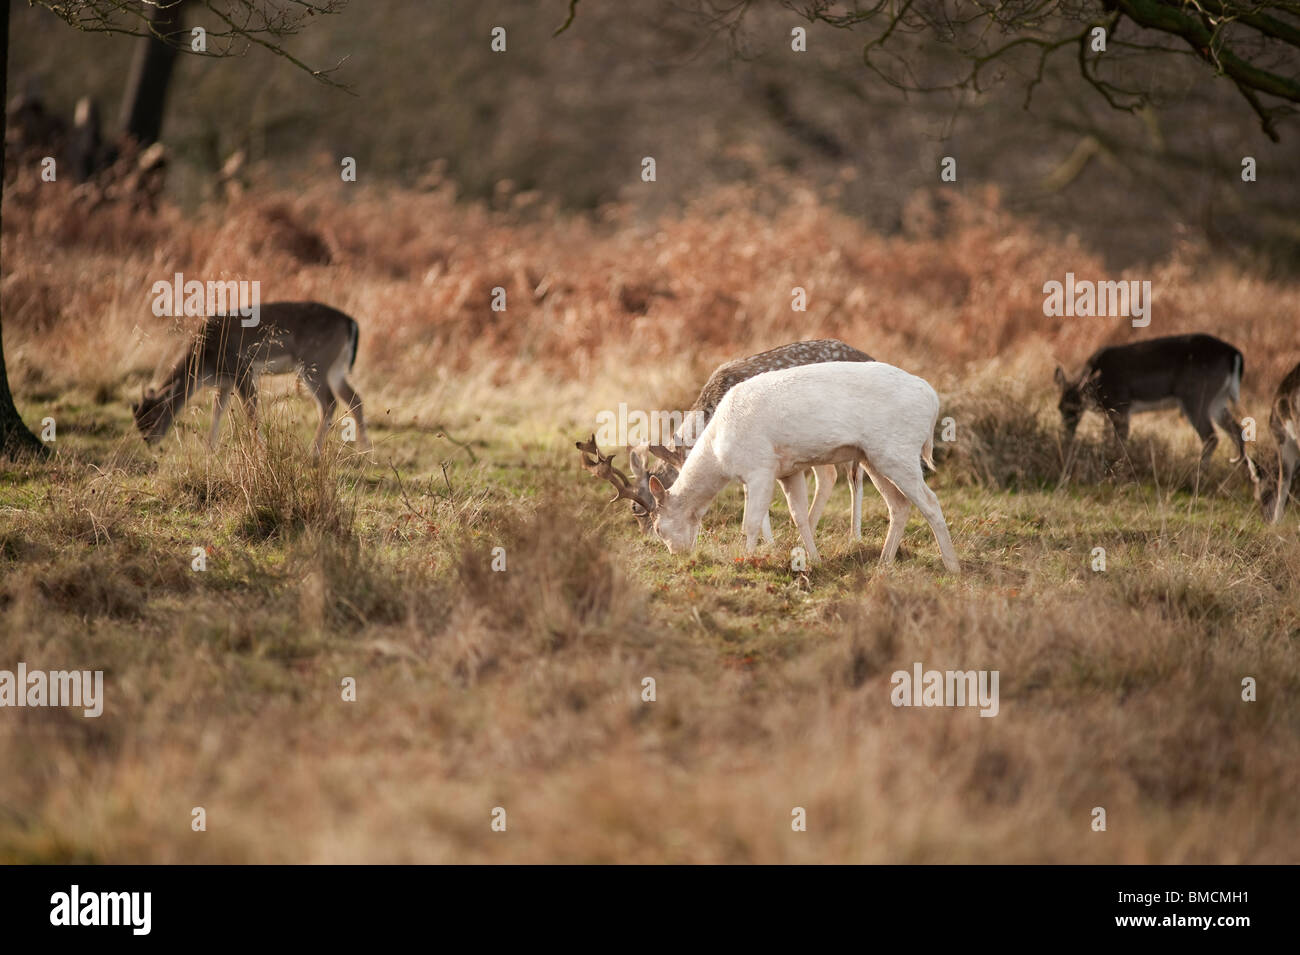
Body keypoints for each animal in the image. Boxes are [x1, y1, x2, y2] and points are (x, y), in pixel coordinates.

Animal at [132, 301, 371, 455]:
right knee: (354, 399)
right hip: (336, 368)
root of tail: (351, 323)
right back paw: (364, 452)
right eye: (138, 420)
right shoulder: (225, 382)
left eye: (153, 416)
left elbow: (250, 410)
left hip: (315, 363)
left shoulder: (242, 369)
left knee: (329, 402)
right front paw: (209, 450)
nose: (149, 441)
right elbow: (217, 410)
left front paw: (262, 450)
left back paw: (314, 456)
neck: (204, 364)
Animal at [583, 361, 959, 573]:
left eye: (659, 528)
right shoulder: (788, 470)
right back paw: (883, 564)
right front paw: (815, 561)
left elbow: (750, 523)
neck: (720, 453)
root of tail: (933, 399)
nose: (679, 555)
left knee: (930, 502)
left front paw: (747, 562)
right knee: (900, 505)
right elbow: (799, 516)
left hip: (898, 450)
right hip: (872, 456)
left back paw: (952, 566)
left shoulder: (760, 467)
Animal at [584, 339, 874, 542]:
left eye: (637, 508)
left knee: (855, 477)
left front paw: (767, 543)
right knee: (829, 475)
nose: (651, 538)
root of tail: (871, 357)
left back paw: (855, 536)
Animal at [1054, 333, 1246, 465]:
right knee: (1237, 429)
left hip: (1195, 395)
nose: (1067, 434)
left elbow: (1119, 440)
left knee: (1211, 436)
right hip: (1217, 400)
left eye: (1075, 407)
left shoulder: (1122, 404)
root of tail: (1234, 354)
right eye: (1060, 407)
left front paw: (1117, 463)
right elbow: (1106, 437)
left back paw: (1199, 473)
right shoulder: (1111, 410)